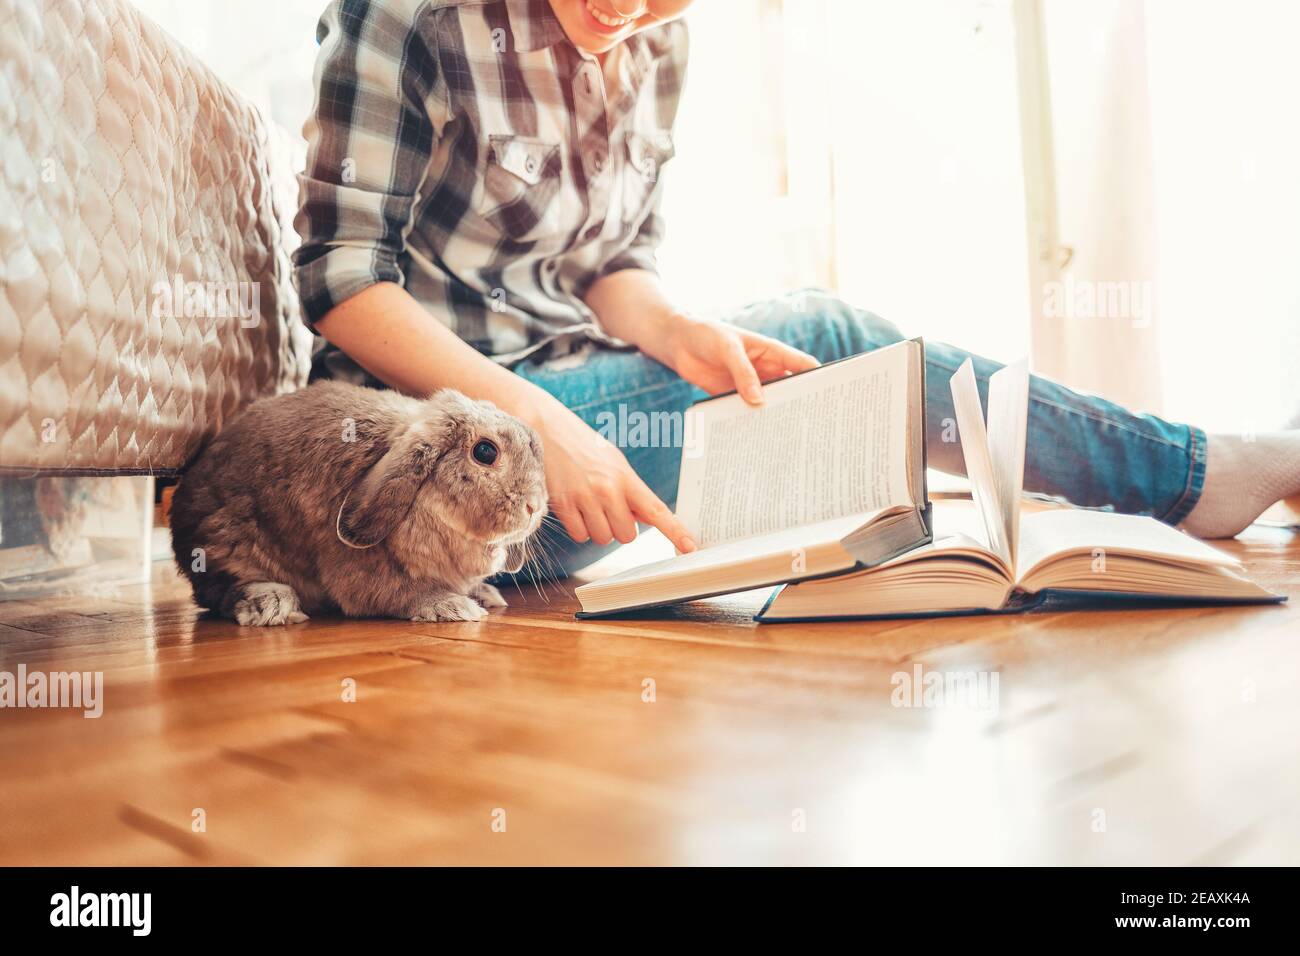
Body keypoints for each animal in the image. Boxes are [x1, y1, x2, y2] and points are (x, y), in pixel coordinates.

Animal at [169, 381, 548, 626]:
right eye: (485, 451)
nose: (534, 507)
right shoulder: (363, 572)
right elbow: (401, 594)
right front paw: (454, 607)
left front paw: (485, 595)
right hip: (223, 544)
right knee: (220, 590)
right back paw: (272, 605)